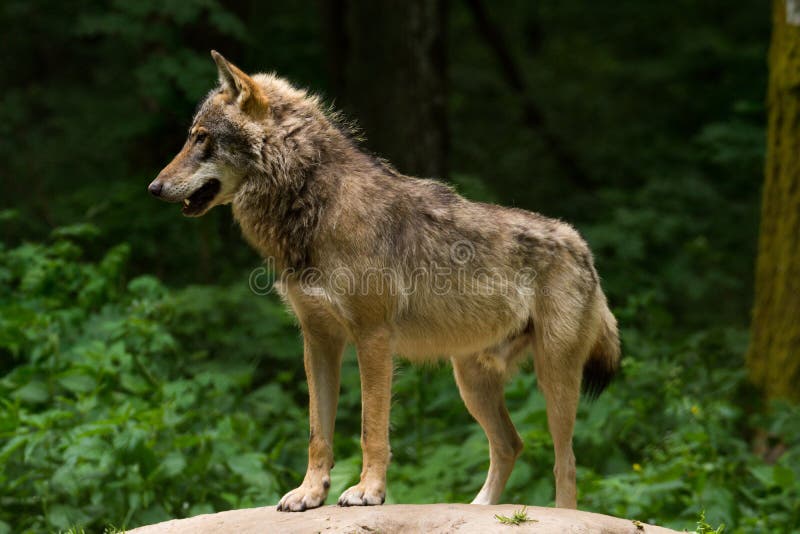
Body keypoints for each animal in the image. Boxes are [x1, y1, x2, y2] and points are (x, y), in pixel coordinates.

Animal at [149, 51, 620, 512]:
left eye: (201, 138)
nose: (153, 187)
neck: (313, 203)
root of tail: (582, 245)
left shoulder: (372, 337)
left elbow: (370, 428)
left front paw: (368, 492)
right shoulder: (318, 340)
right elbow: (317, 433)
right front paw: (309, 493)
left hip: (553, 379)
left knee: (566, 465)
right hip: (471, 381)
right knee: (511, 445)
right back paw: (478, 507)